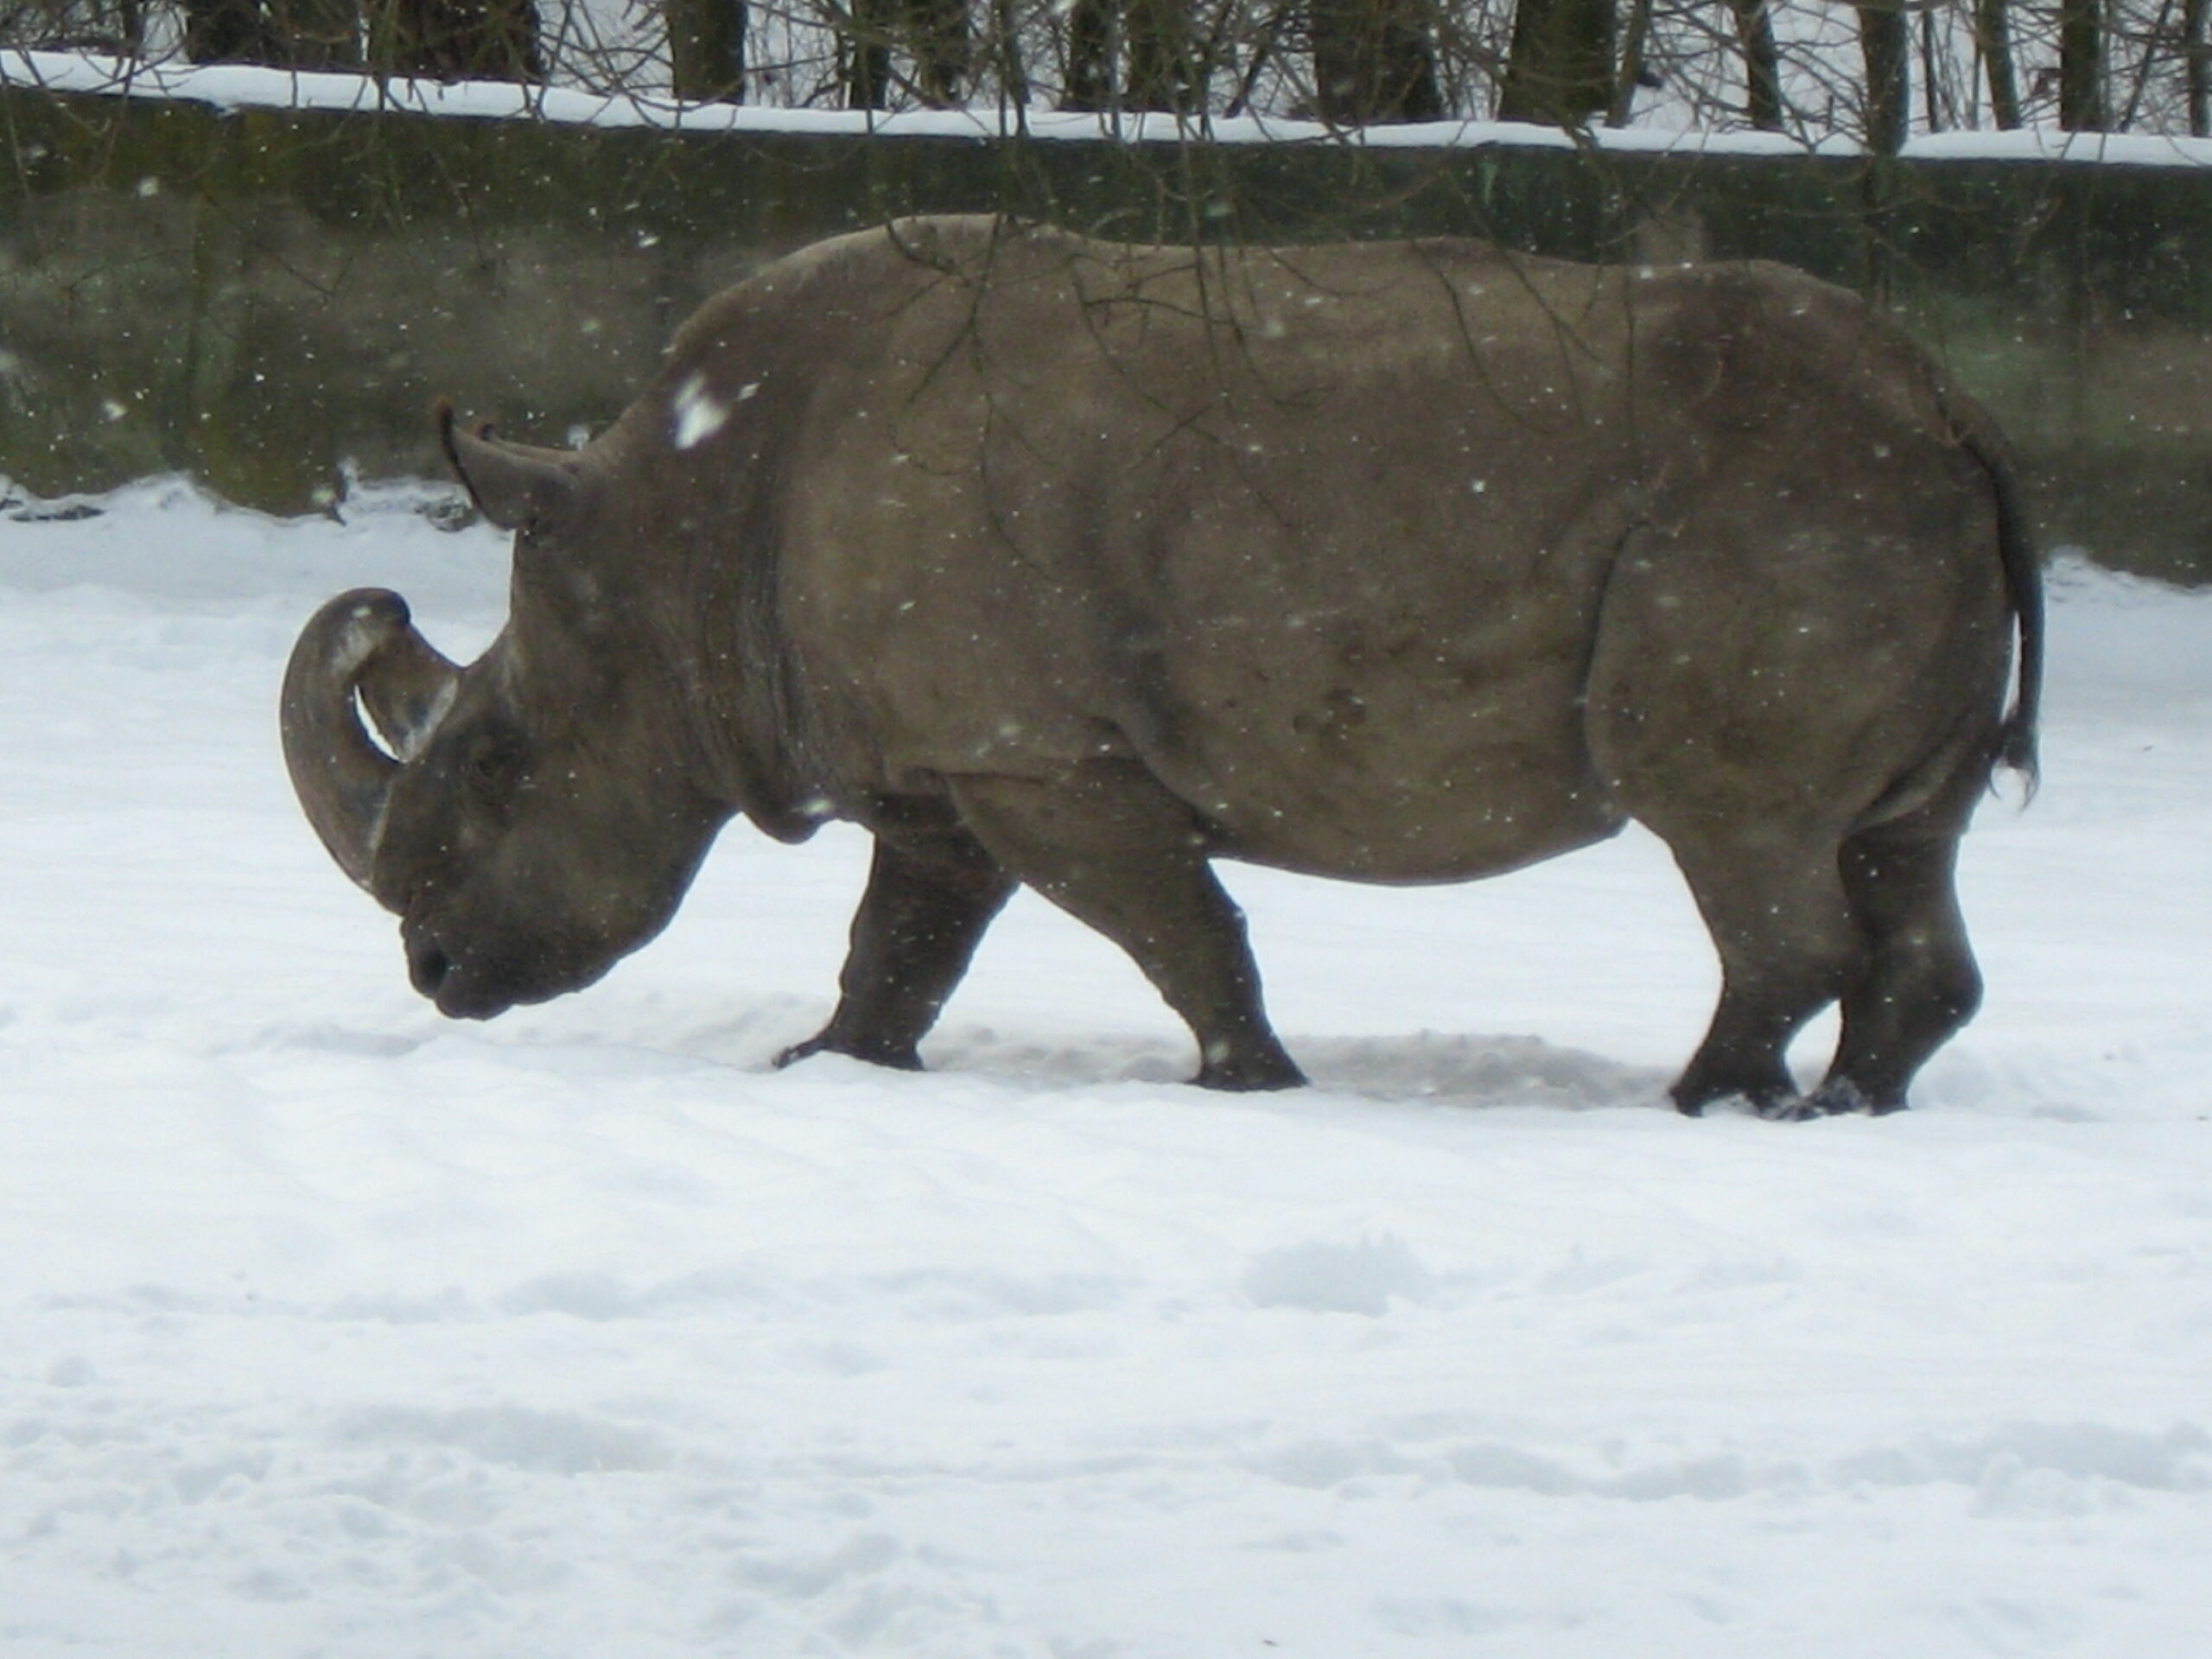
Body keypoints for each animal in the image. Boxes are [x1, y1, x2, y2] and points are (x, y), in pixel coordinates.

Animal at [283, 214, 2041, 1116]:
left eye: (496, 763)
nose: (434, 975)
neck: (668, 547)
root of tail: (1950, 401)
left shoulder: (1044, 758)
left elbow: (1182, 936)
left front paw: (1251, 1090)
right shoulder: (950, 763)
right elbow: (900, 945)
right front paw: (825, 1073)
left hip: (1783, 506)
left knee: (1738, 833)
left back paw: (1704, 1111)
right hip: (1866, 498)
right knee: (1903, 843)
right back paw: (1845, 1109)